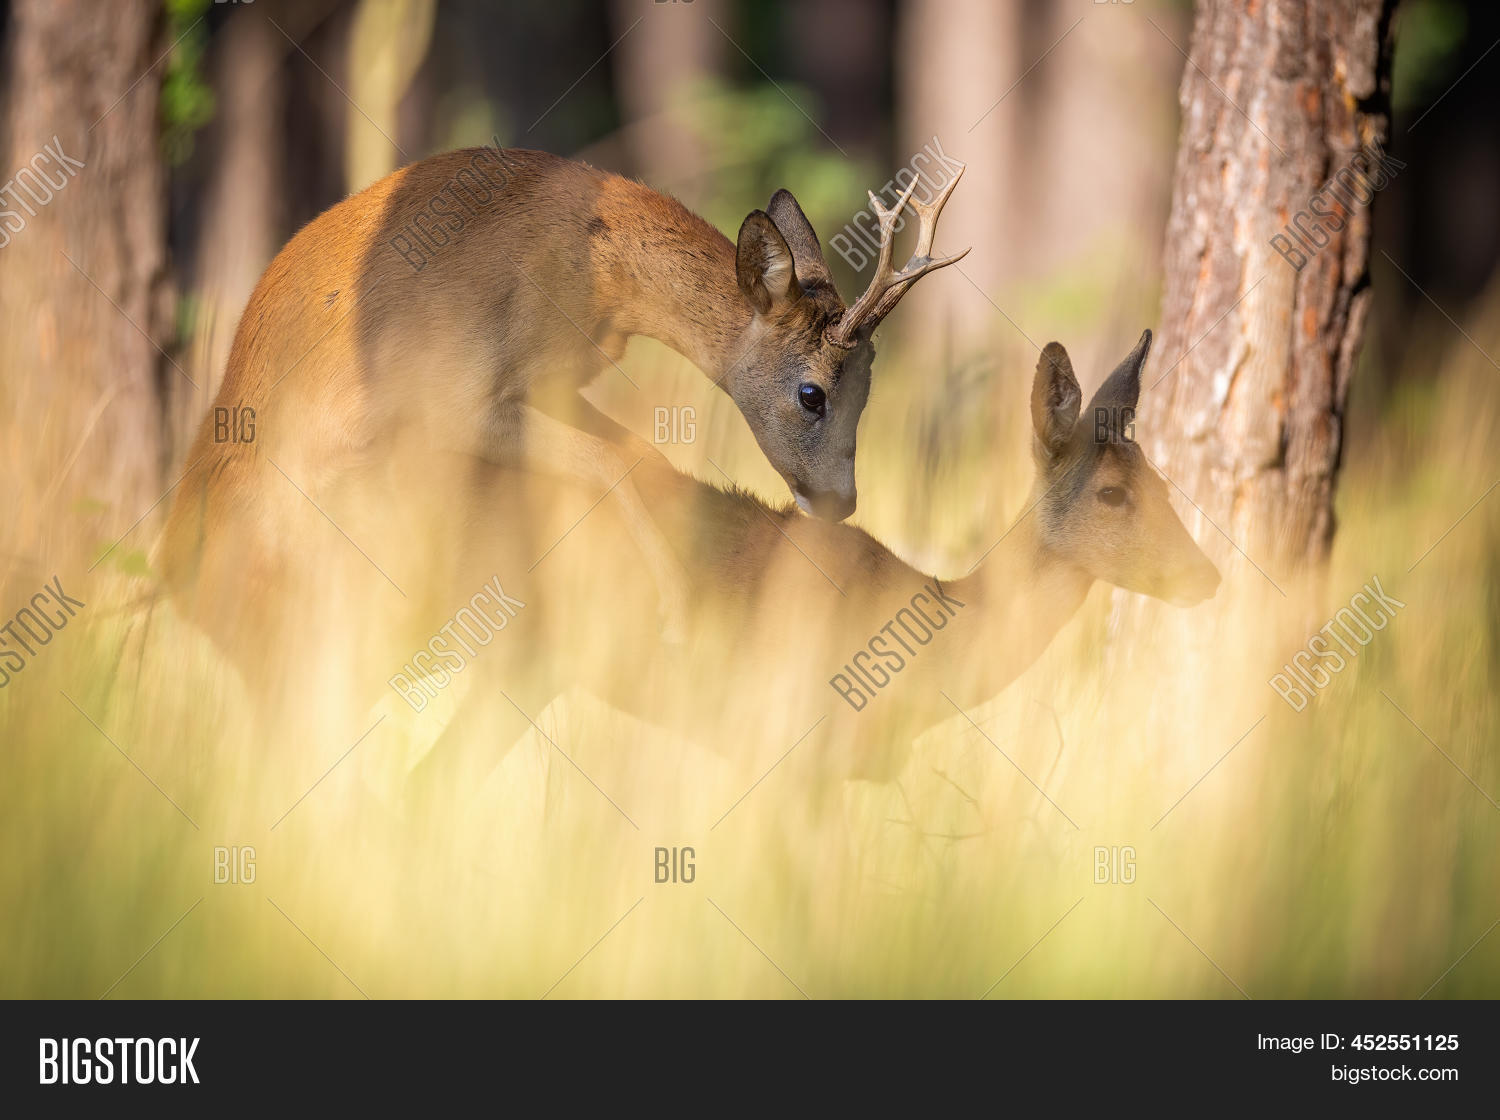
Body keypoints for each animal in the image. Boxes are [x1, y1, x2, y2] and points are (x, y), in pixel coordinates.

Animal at [158, 144, 969, 697]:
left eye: (870, 386)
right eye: (812, 393)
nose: (840, 501)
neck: (601, 276)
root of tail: (172, 565)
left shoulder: (551, 385)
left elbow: (640, 452)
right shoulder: (452, 398)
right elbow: (612, 461)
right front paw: (678, 613)